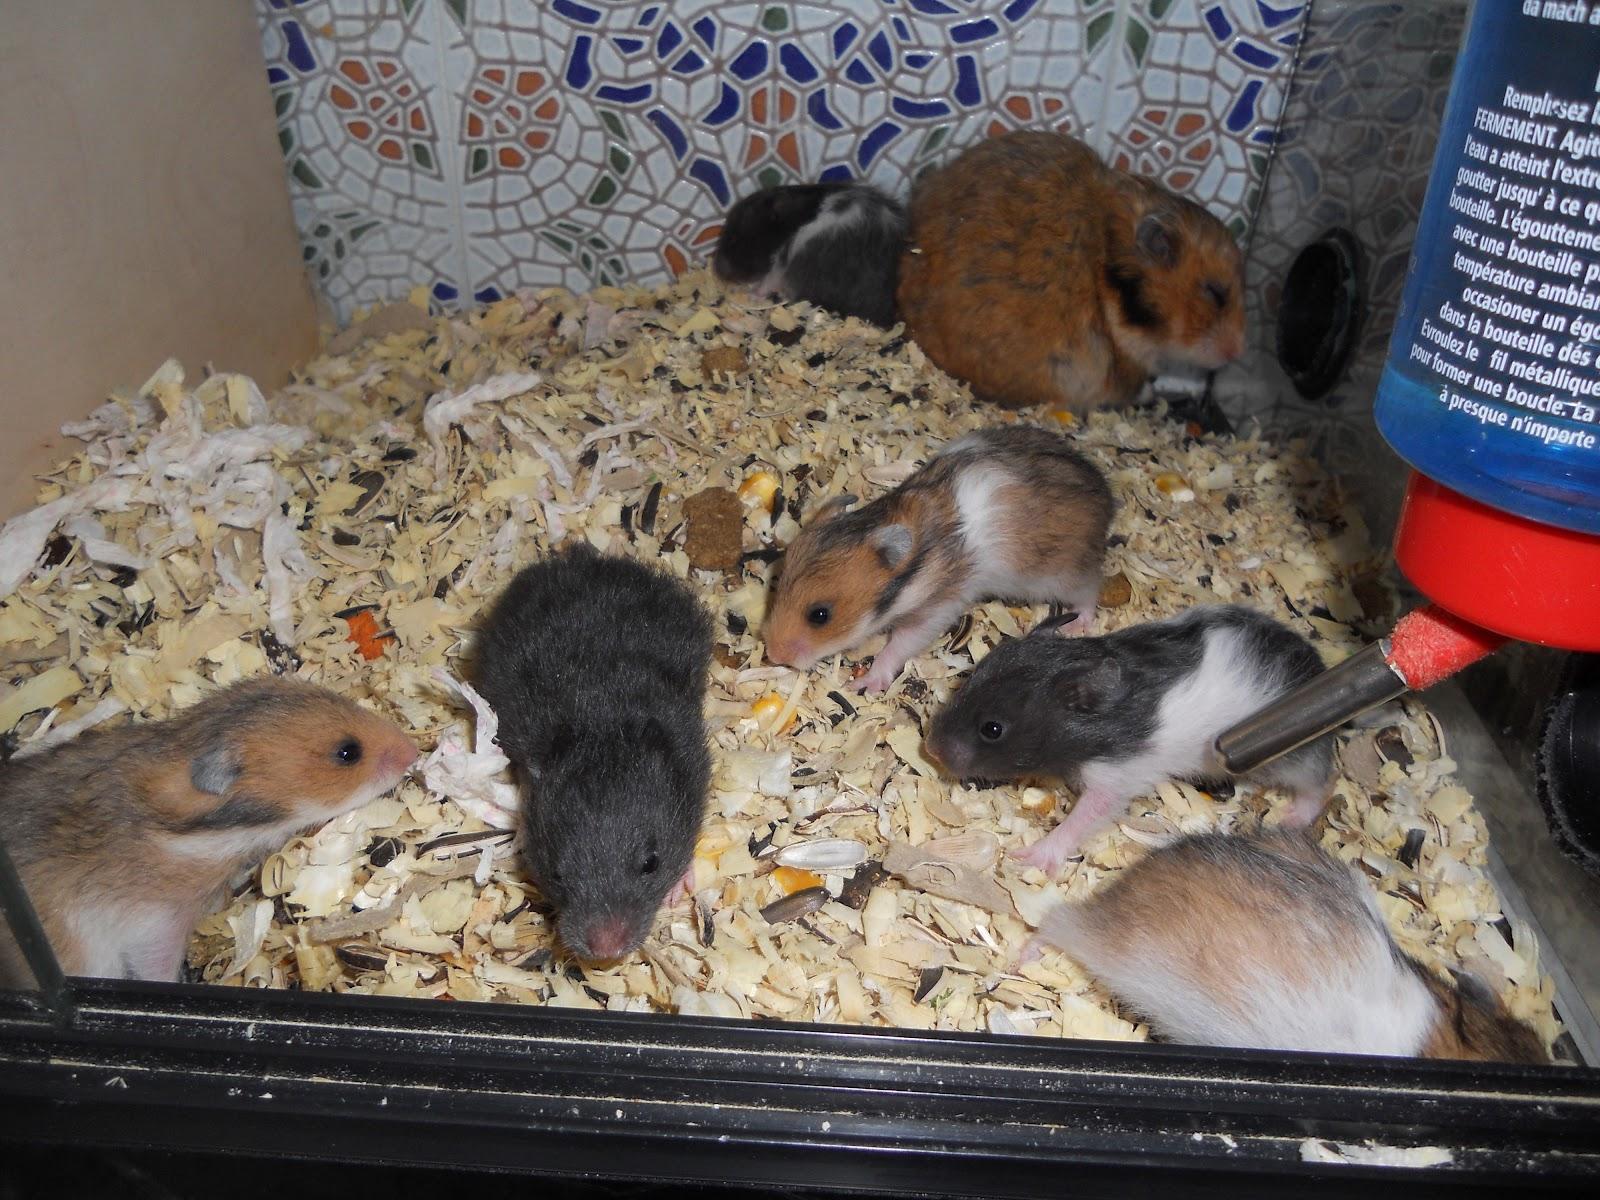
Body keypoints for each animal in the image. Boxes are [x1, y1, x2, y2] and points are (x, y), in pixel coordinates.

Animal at [472, 542, 713, 962]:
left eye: (651, 863)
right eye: (557, 874)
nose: (606, 952)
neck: (601, 725)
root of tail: (585, 558)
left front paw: (677, 890)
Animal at [764, 425, 1112, 694]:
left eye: (820, 615)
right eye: (777, 585)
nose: (773, 655)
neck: (921, 560)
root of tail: (1108, 496)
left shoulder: (938, 608)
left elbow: (899, 645)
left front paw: (863, 685)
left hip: (1063, 573)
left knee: (1089, 593)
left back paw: (1076, 626)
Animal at [924, 605, 1334, 875]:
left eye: (992, 729)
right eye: (968, 679)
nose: (930, 748)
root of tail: (1318, 667)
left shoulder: (1113, 779)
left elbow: (1082, 819)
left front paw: (1030, 858)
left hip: (1288, 749)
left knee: (1319, 782)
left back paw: (1292, 817)